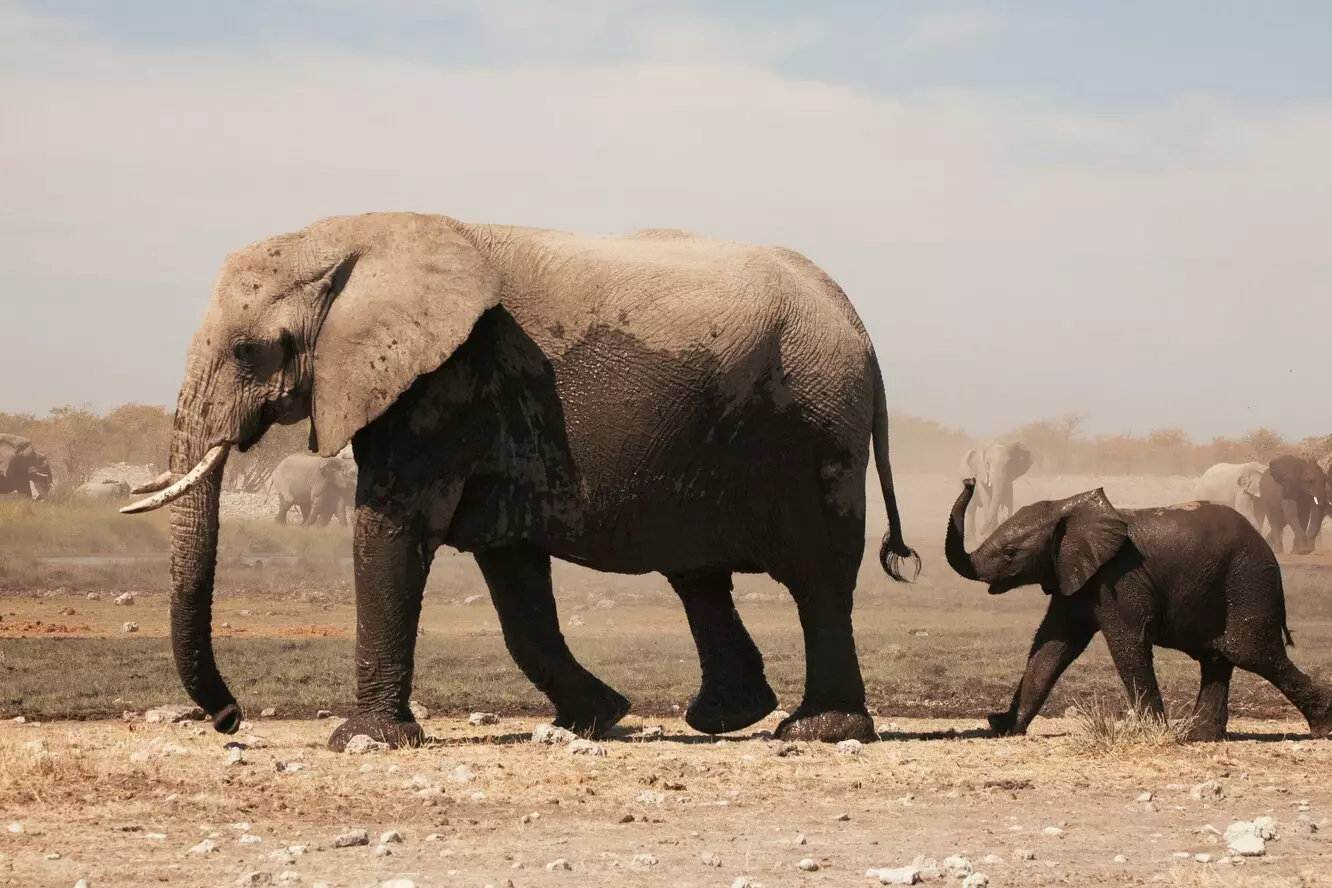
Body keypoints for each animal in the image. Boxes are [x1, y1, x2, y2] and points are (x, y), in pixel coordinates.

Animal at [119, 213, 916, 750]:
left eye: (249, 351)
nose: (230, 720)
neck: (355, 238)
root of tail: (859, 323)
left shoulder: (446, 385)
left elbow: (390, 530)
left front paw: (362, 741)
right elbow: (513, 581)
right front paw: (596, 719)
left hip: (814, 426)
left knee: (816, 577)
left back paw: (816, 731)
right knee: (698, 575)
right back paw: (726, 718)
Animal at [948, 479, 1332, 745]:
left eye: (1010, 553)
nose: (969, 480)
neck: (1066, 509)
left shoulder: (1119, 577)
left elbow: (1126, 643)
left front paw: (1153, 733)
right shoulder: (1076, 577)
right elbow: (1053, 646)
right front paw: (1004, 727)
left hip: (1248, 582)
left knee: (1252, 653)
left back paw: (1323, 728)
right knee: (1217, 658)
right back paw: (1198, 737)